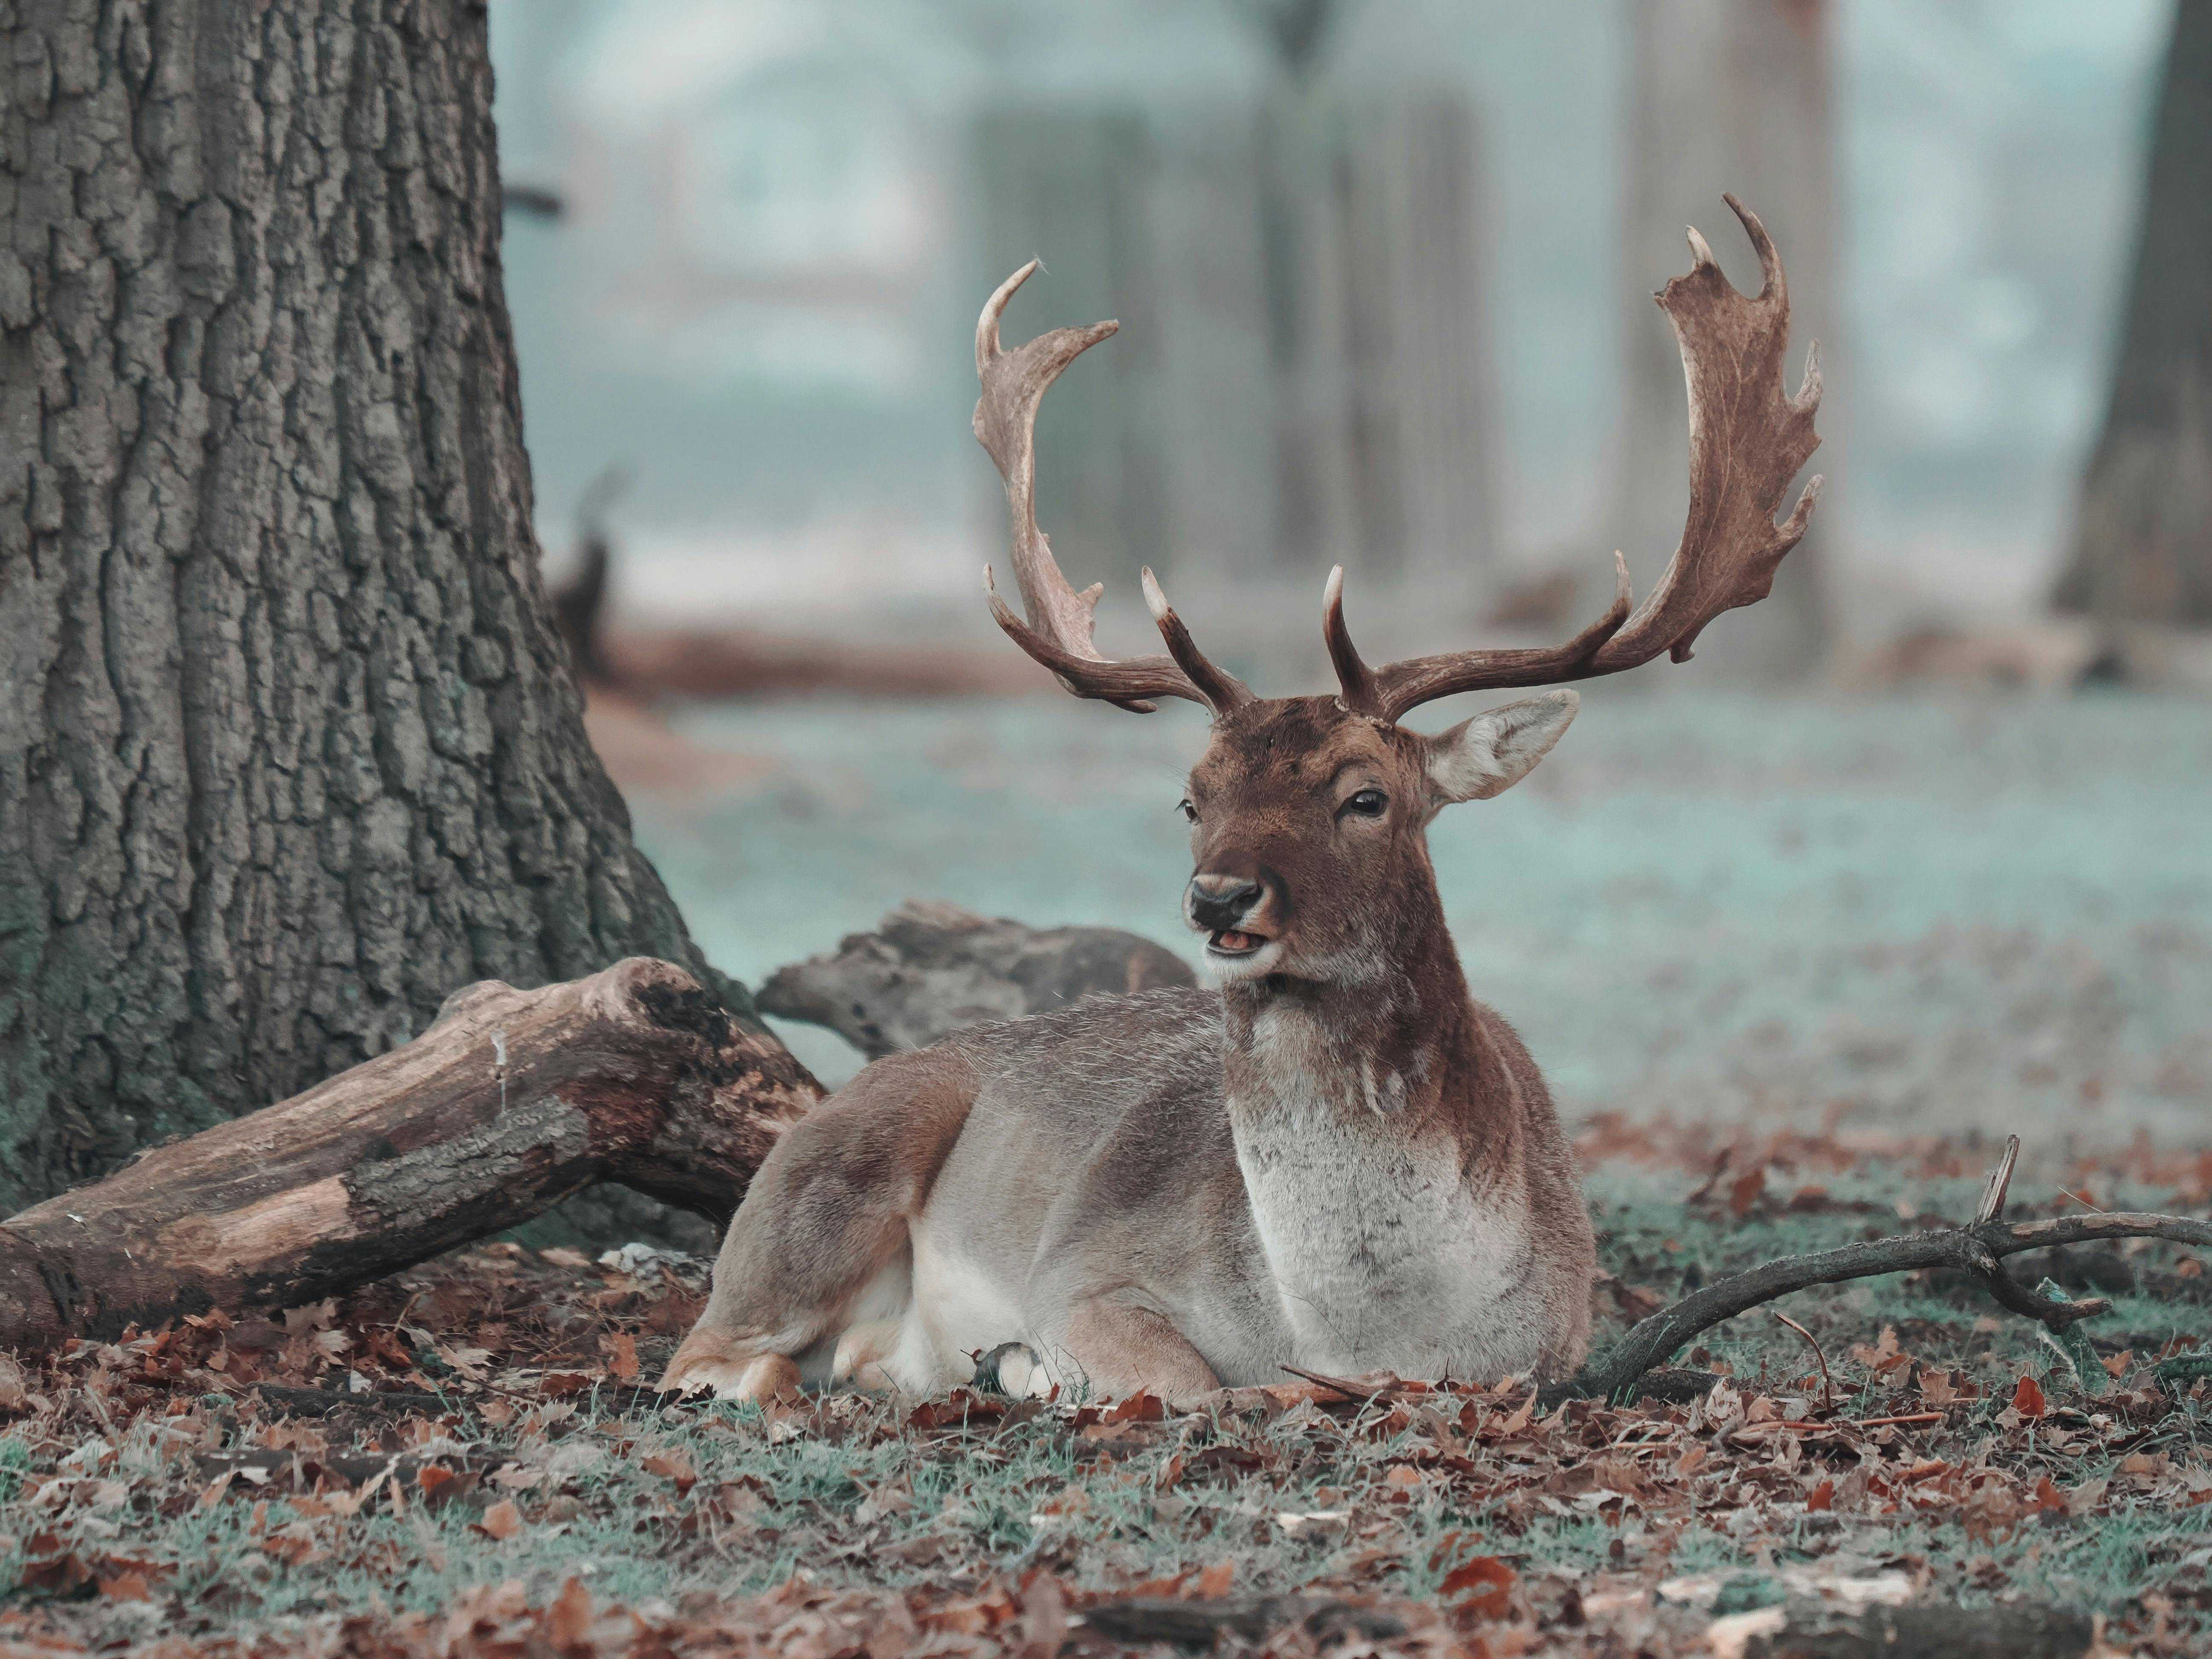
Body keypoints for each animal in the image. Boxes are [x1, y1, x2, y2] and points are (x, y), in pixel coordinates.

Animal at [663, 195, 1822, 1407]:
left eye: (1366, 796)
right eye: (1191, 797)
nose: (1218, 898)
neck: (1373, 1331)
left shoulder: (1553, 1346)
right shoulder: (1087, 1273)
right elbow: (1200, 1385)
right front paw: (1034, 1361)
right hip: (820, 1184)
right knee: (704, 1355)